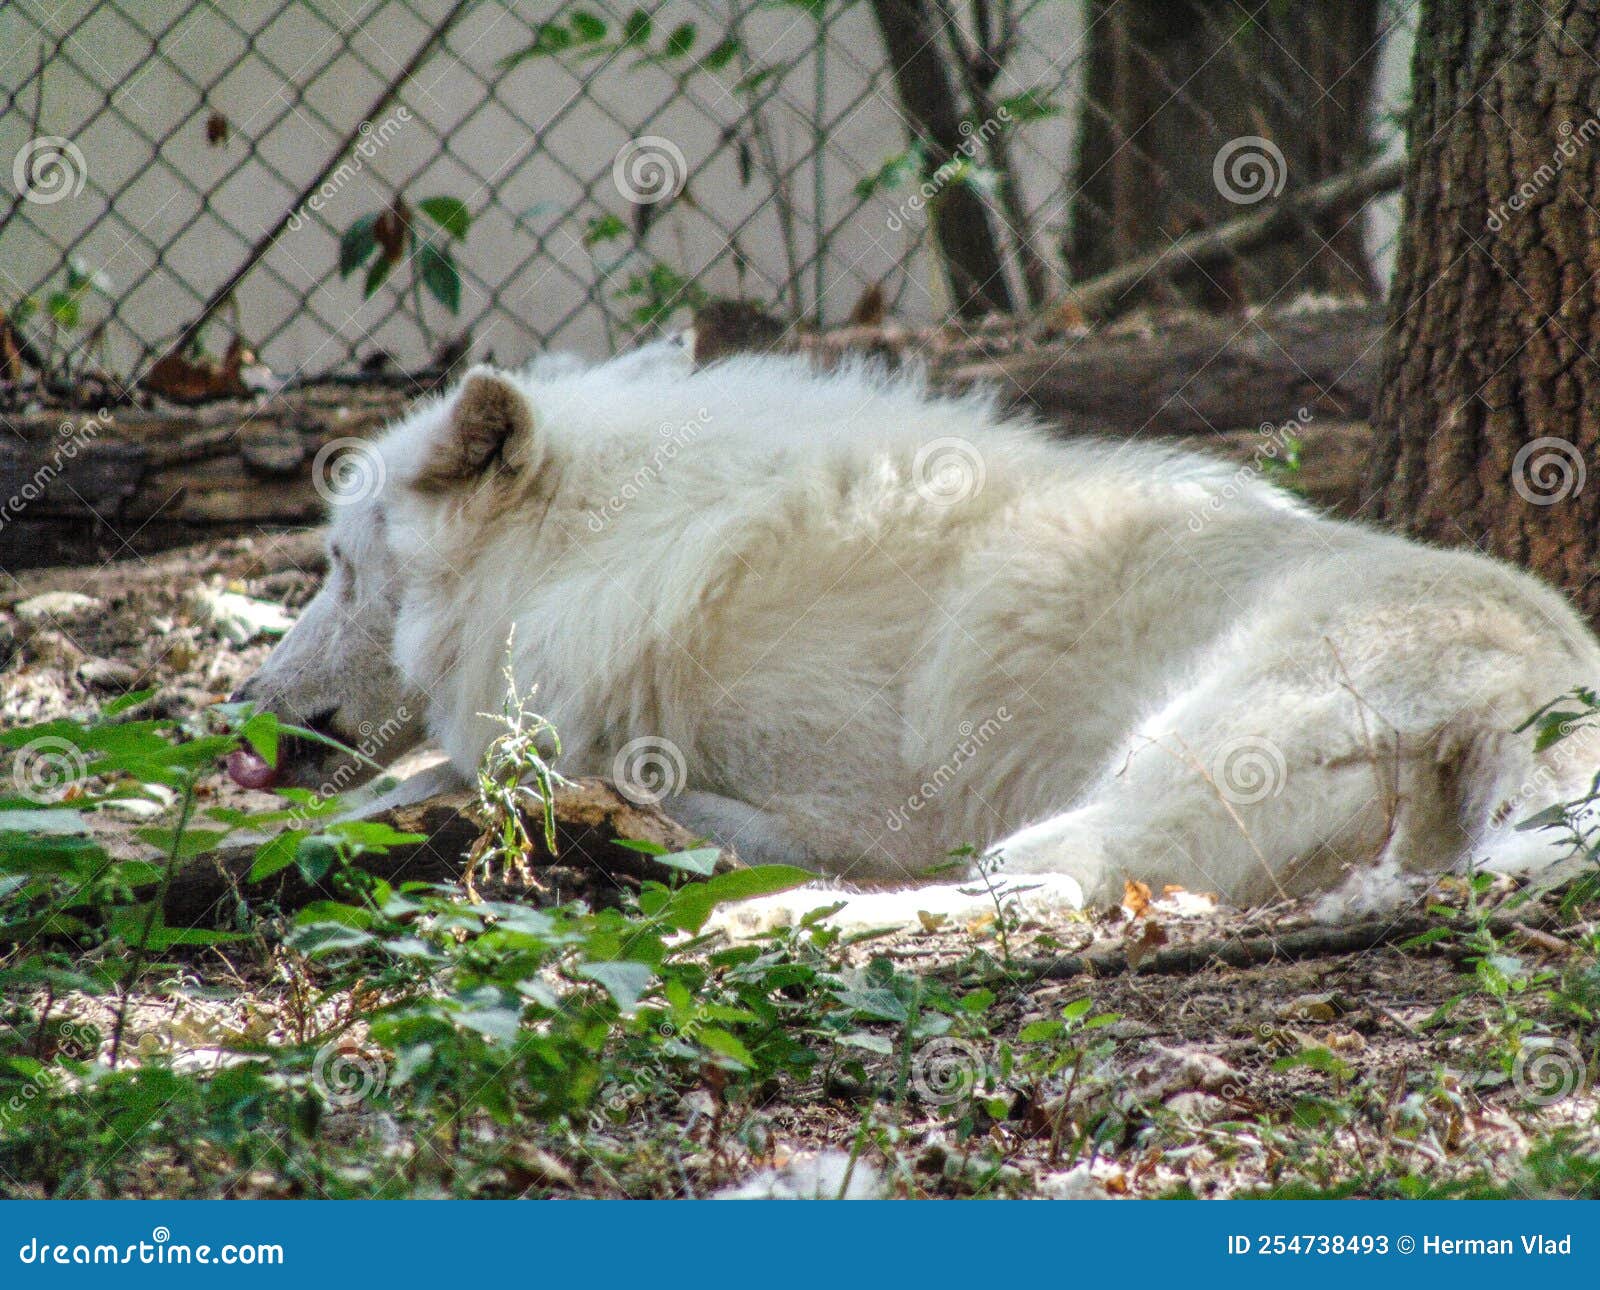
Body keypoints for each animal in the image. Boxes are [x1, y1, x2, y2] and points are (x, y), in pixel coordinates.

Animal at [230, 344, 1600, 924]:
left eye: (339, 567)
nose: (240, 712)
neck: (609, 556)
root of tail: (1539, 710)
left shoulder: (862, 806)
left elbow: (503, 773)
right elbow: (429, 774)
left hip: (1162, 766)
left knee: (1040, 891)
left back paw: (748, 917)